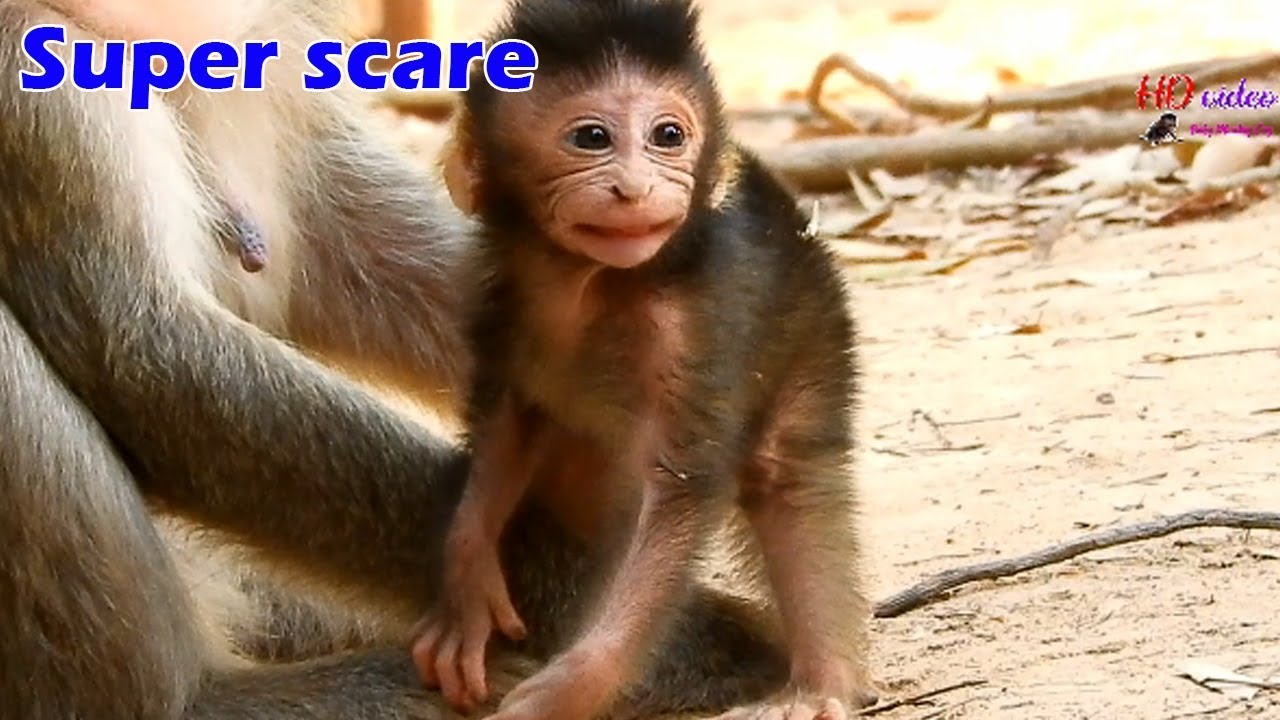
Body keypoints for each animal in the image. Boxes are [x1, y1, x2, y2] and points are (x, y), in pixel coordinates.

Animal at [412, 1, 878, 719]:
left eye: (667, 135)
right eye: (591, 139)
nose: (634, 188)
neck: (593, 281)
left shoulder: (691, 322)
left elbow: (677, 493)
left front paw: (570, 687)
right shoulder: (506, 285)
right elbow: (511, 415)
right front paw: (465, 587)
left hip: (814, 320)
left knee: (786, 479)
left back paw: (818, 685)